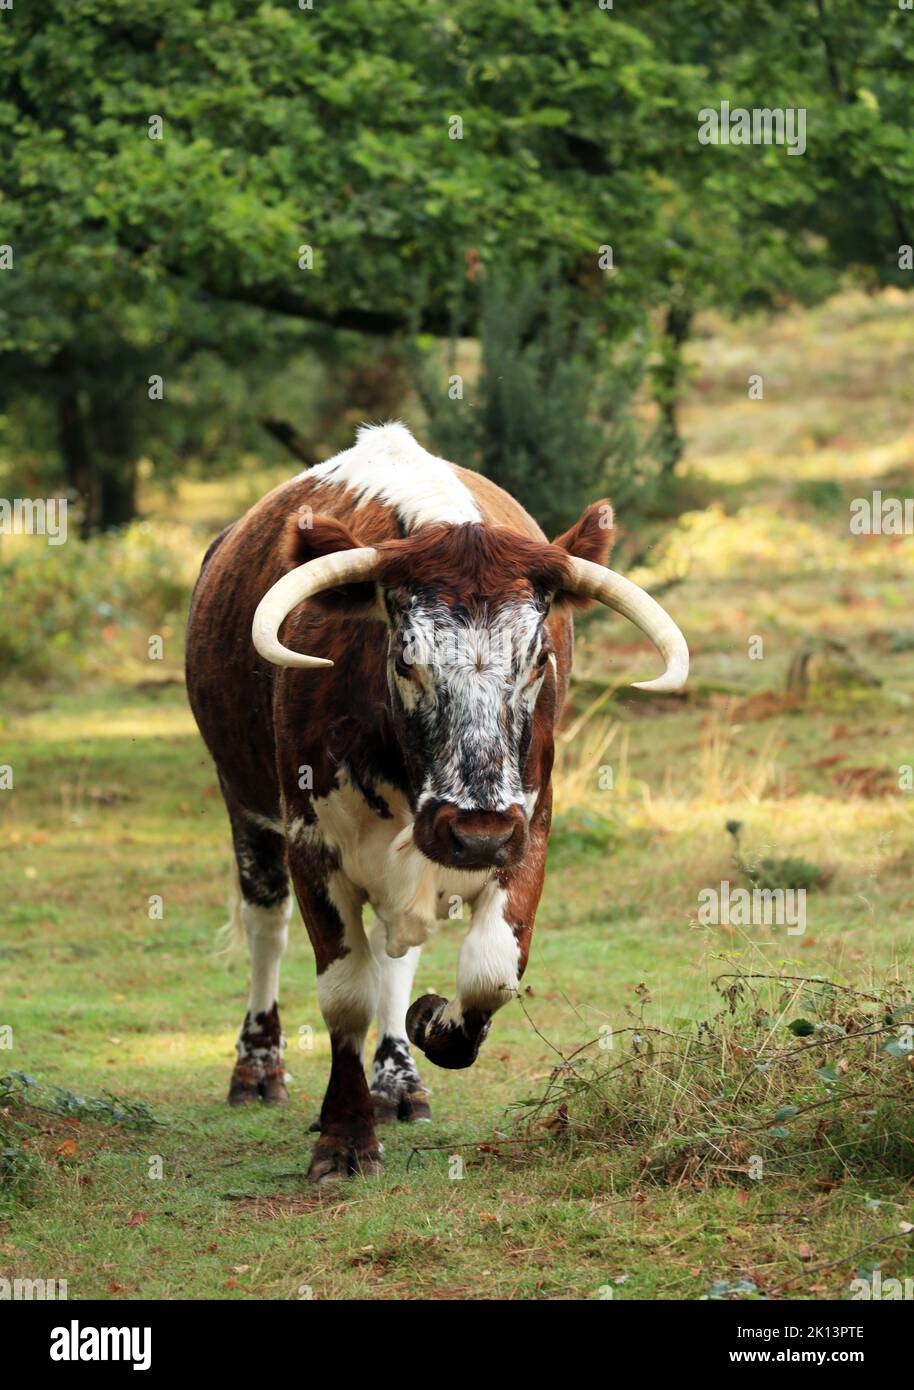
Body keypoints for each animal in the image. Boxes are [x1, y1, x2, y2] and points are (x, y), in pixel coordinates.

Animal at [185, 422, 687, 1182]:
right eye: (404, 658)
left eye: (539, 659)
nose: (473, 834)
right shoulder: (311, 843)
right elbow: (345, 993)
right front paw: (344, 1136)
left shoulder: (528, 827)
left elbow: (490, 973)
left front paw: (430, 1025)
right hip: (242, 800)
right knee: (265, 925)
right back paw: (258, 1067)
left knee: (398, 952)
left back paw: (399, 1078)